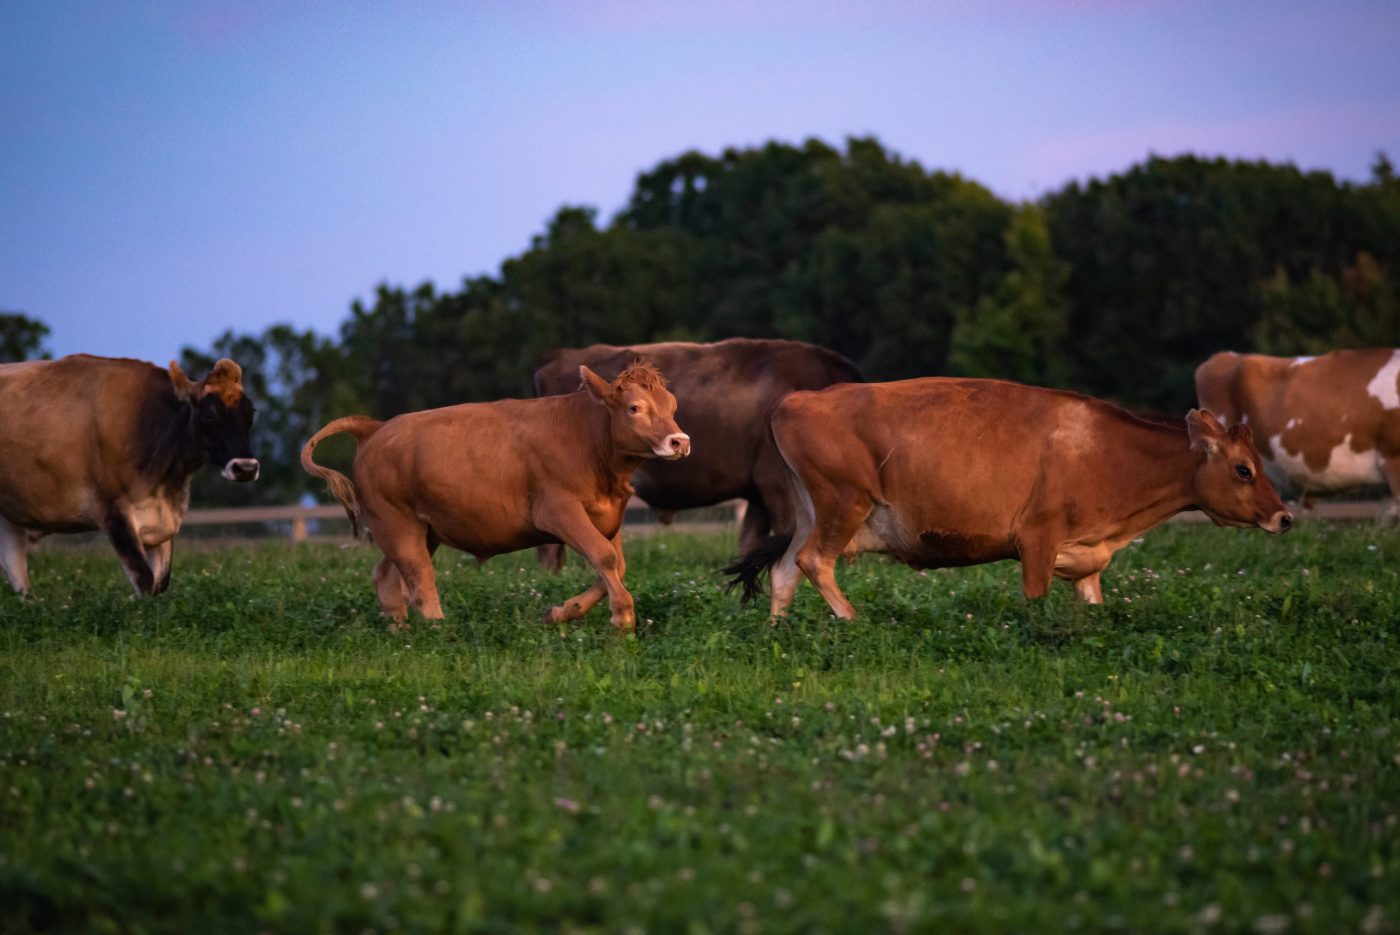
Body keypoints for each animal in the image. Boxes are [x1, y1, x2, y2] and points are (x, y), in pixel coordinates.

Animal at [0, 354, 258, 597]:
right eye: (208, 415)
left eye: (250, 413)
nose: (246, 468)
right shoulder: (113, 512)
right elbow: (144, 579)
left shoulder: (161, 522)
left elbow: (160, 583)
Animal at [300, 362, 689, 631]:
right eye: (635, 407)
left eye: (672, 406)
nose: (680, 441)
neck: (586, 436)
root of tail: (374, 428)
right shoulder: (560, 511)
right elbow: (605, 558)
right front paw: (623, 617)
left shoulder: (606, 516)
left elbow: (614, 566)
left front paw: (559, 612)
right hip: (396, 524)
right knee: (420, 579)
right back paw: (437, 631)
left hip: (423, 531)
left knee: (387, 576)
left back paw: (401, 632)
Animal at [724, 378, 1292, 620]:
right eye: (1243, 469)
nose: (1284, 517)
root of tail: (800, 398)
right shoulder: (1038, 539)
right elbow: (1035, 604)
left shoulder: (1086, 561)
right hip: (845, 502)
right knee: (813, 561)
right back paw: (850, 619)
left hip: (811, 510)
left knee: (784, 571)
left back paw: (780, 634)